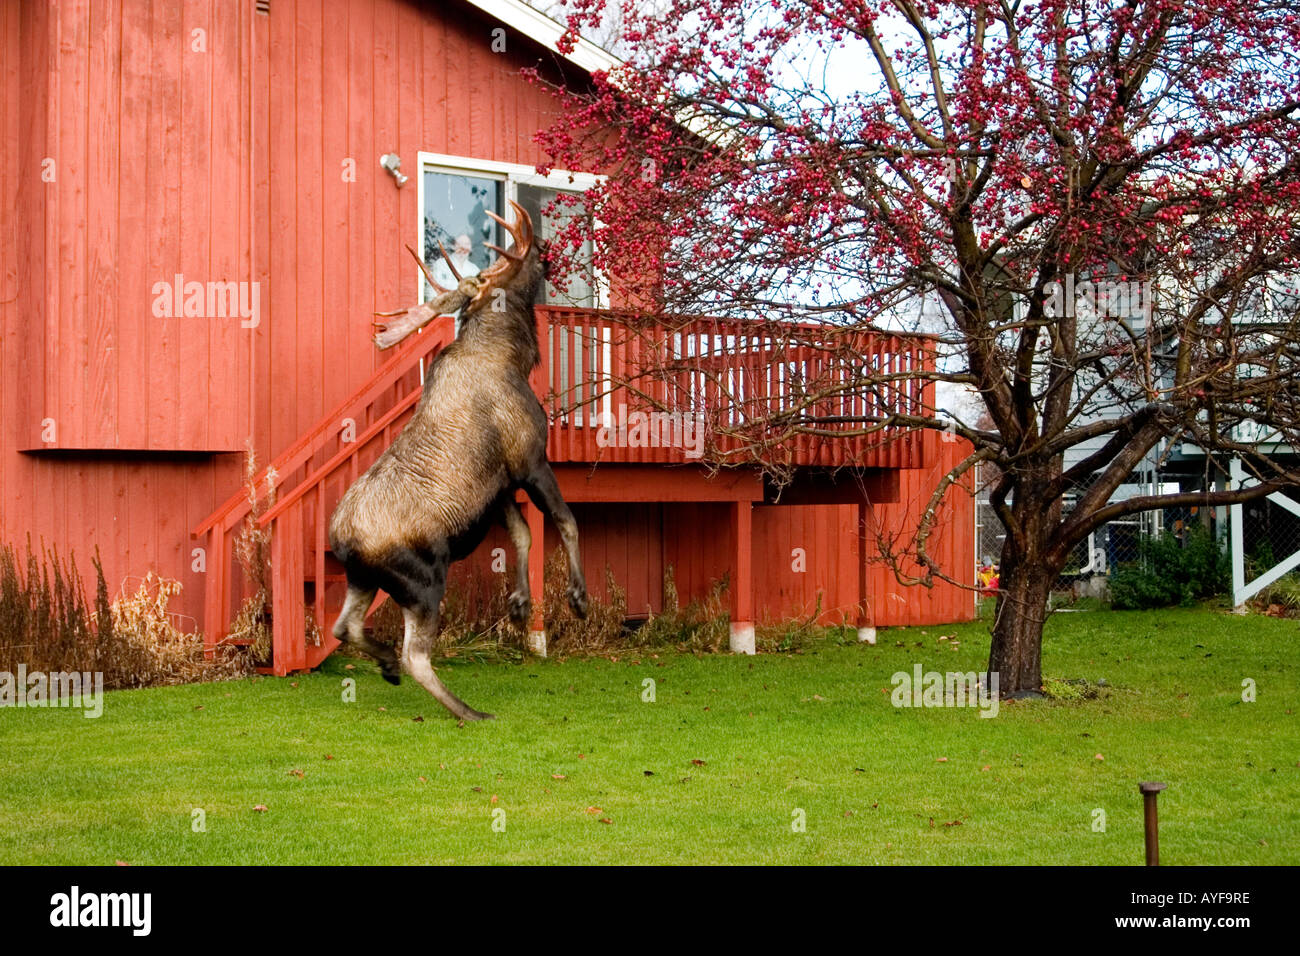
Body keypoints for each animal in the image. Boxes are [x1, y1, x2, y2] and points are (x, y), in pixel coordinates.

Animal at [328, 201, 588, 721]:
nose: (545, 245)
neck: (512, 354)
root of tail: (344, 542)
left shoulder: (500, 484)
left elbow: (523, 535)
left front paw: (519, 604)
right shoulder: (530, 457)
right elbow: (565, 521)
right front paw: (577, 597)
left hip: (360, 578)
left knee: (343, 628)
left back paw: (386, 663)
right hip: (424, 577)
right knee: (415, 655)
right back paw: (467, 710)